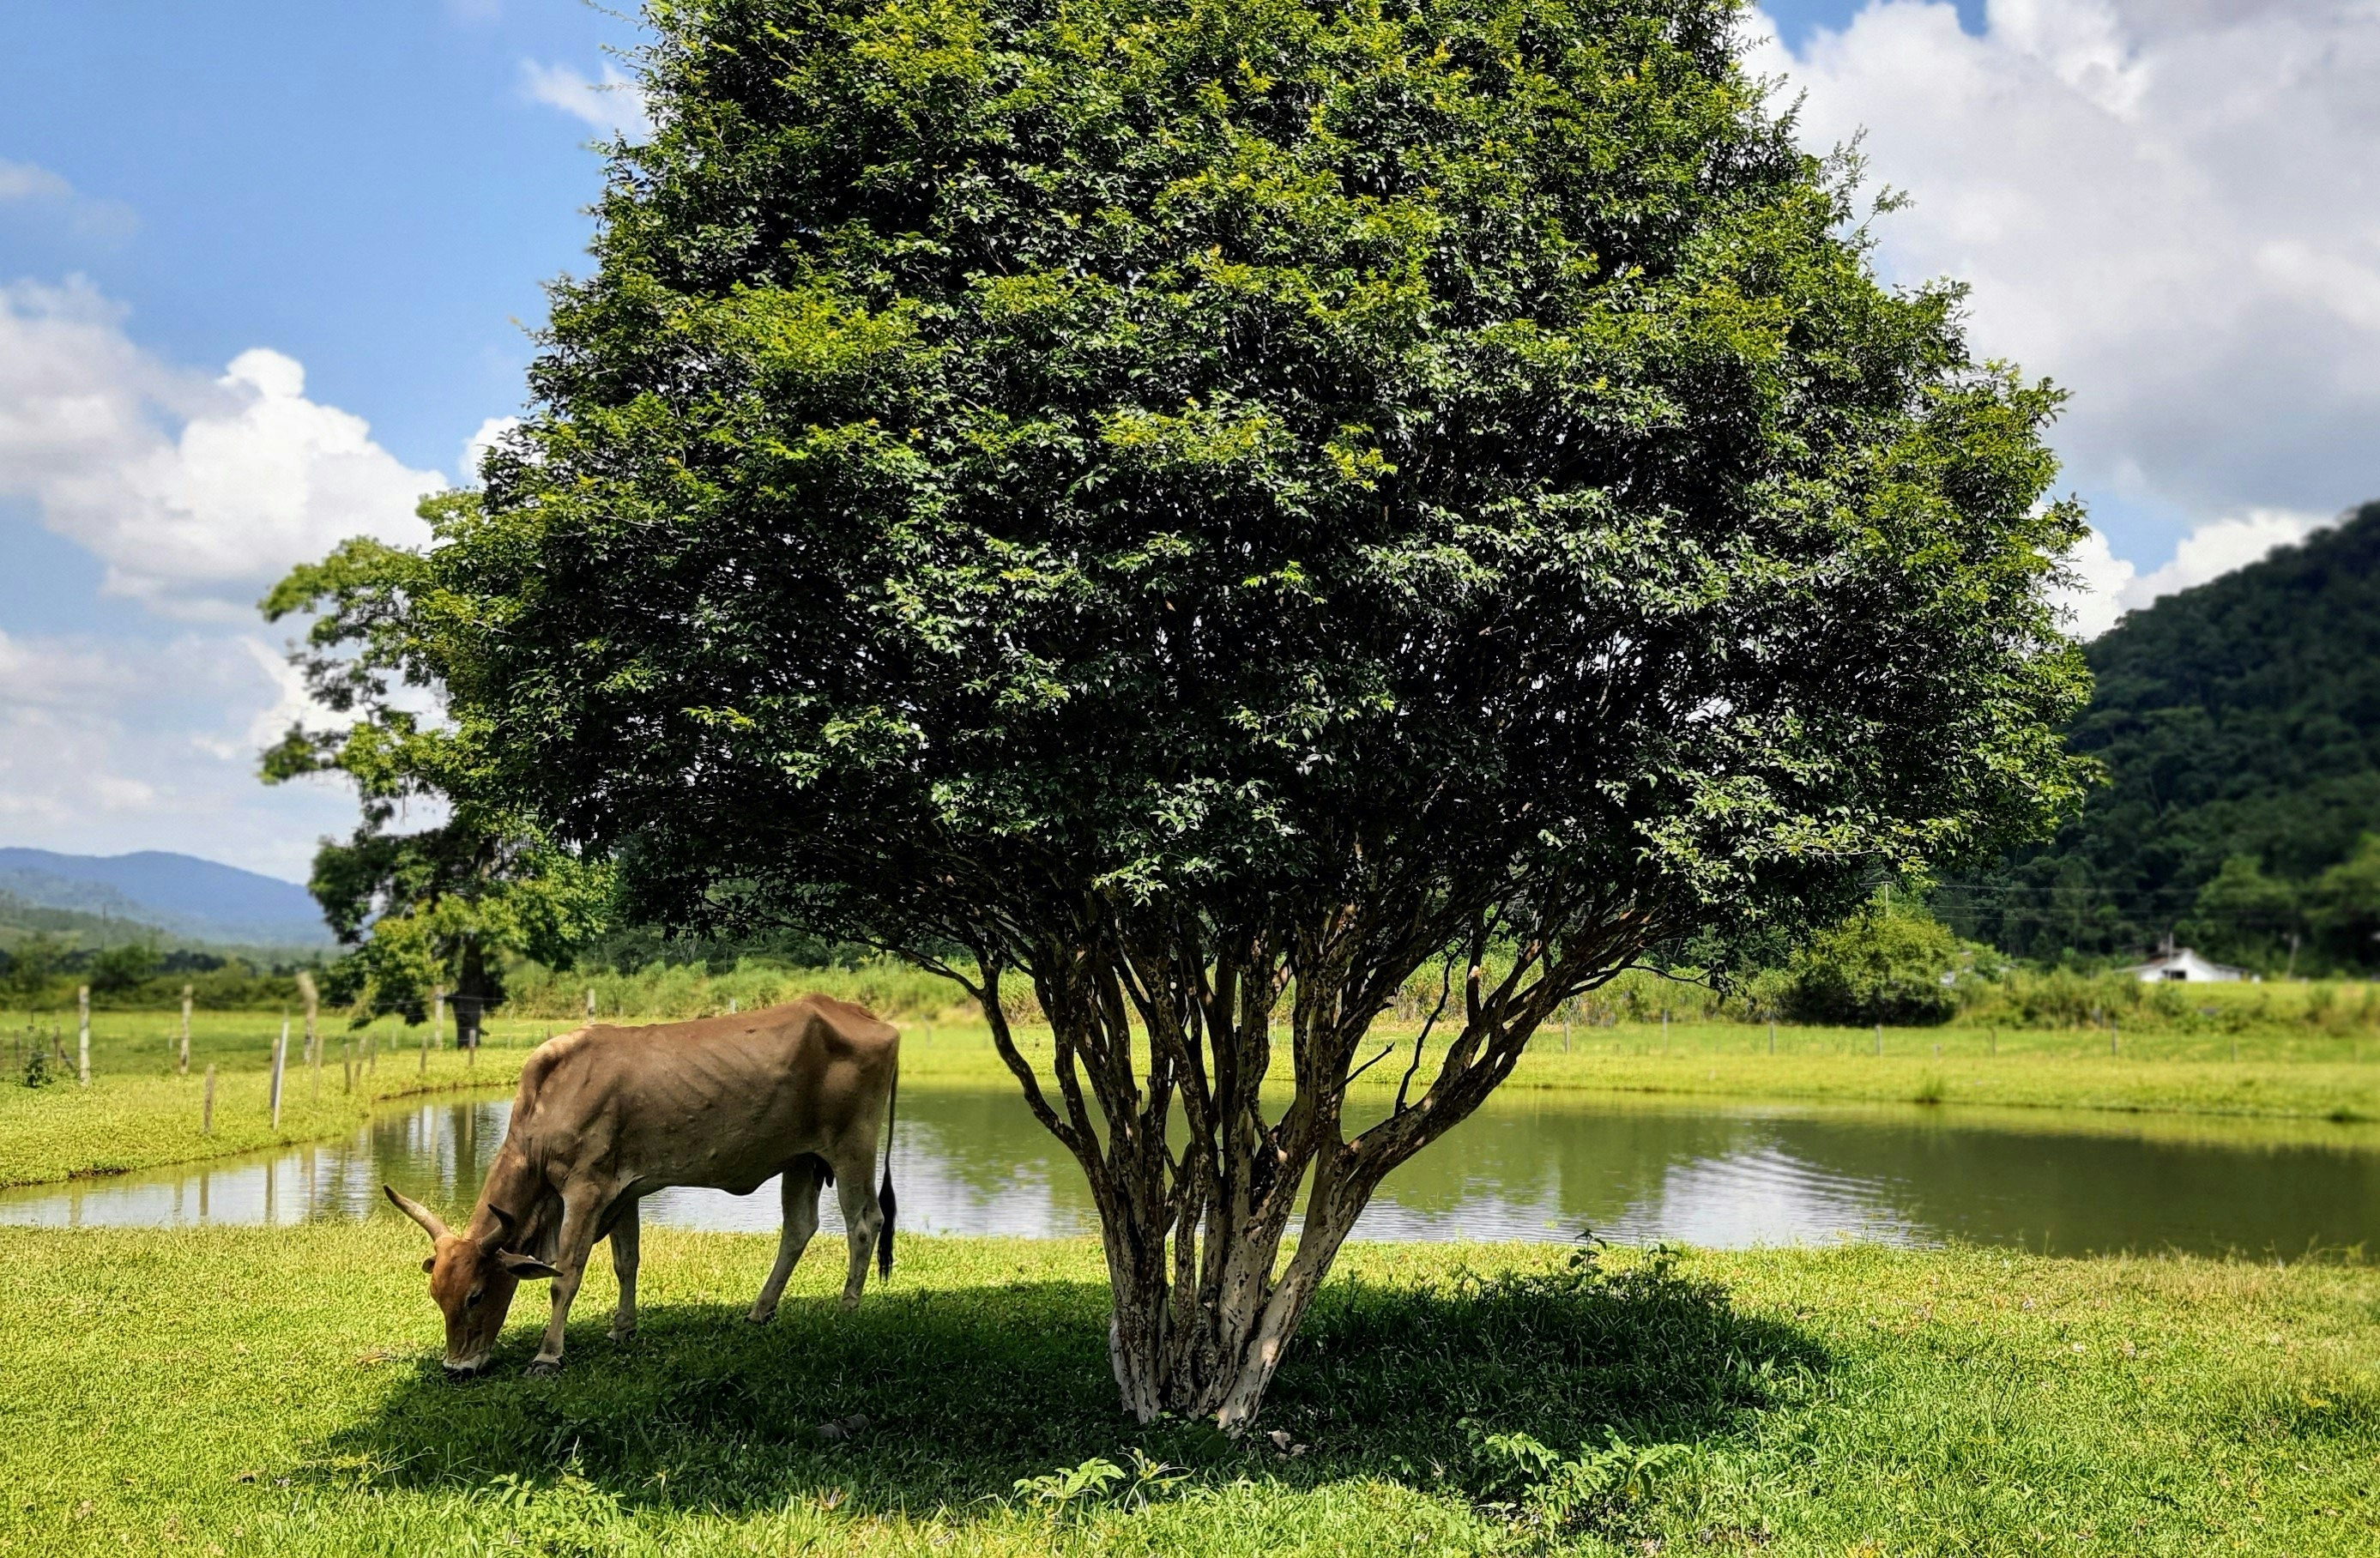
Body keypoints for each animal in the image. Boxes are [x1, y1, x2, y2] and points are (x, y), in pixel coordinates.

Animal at [383, 995, 899, 1377]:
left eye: (475, 1295)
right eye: (436, 1295)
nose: (456, 1368)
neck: (552, 1099)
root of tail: (865, 1015)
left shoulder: (586, 1191)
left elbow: (566, 1276)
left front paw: (548, 1355)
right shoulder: (622, 1192)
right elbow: (625, 1262)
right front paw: (622, 1329)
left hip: (852, 1148)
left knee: (863, 1223)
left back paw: (846, 1309)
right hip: (801, 1161)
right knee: (798, 1229)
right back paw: (760, 1310)